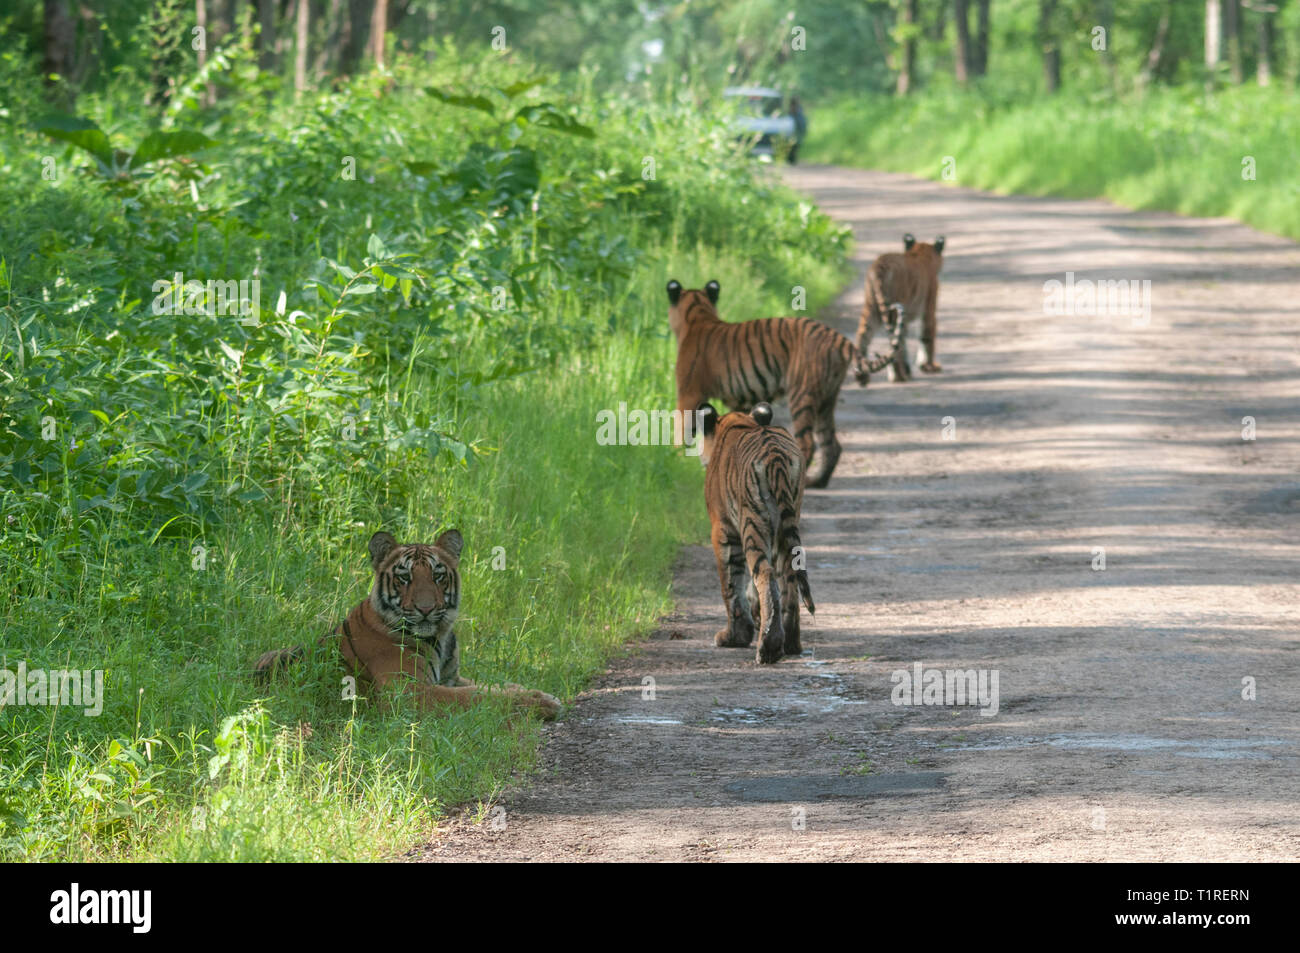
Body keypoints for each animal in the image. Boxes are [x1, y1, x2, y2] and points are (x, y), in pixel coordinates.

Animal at [253, 530, 562, 720]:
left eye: (438, 576)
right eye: (404, 577)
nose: (425, 609)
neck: (440, 638)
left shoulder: (449, 677)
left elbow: (489, 684)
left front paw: (534, 691)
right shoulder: (409, 692)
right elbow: (475, 696)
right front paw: (542, 703)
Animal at [668, 279, 903, 489]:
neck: (699, 315)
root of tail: (838, 337)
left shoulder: (688, 393)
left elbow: (681, 429)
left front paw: (677, 458)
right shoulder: (742, 401)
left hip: (802, 395)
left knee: (808, 443)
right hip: (827, 399)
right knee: (831, 444)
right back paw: (818, 481)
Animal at [698, 401, 815, 664]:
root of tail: (775, 455)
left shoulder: (723, 530)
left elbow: (731, 585)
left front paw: (734, 637)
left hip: (753, 522)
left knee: (765, 574)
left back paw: (768, 647)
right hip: (786, 522)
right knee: (788, 577)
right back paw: (790, 642)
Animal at [856, 234, 946, 382]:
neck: (920, 252)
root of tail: (880, 264)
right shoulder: (928, 309)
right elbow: (927, 337)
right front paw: (929, 366)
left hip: (871, 308)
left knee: (862, 335)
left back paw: (862, 376)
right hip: (893, 312)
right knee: (894, 343)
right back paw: (898, 375)